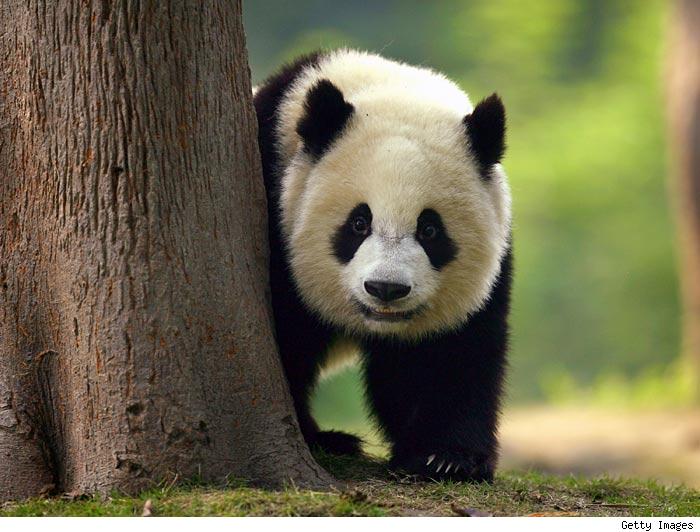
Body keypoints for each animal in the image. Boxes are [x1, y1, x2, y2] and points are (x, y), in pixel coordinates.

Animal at [254, 49, 512, 482]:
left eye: (430, 229)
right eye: (359, 223)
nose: (386, 289)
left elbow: (449, 354)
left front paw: (446, 458)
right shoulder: (272, 203)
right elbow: (287, 341)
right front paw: (313, 437)